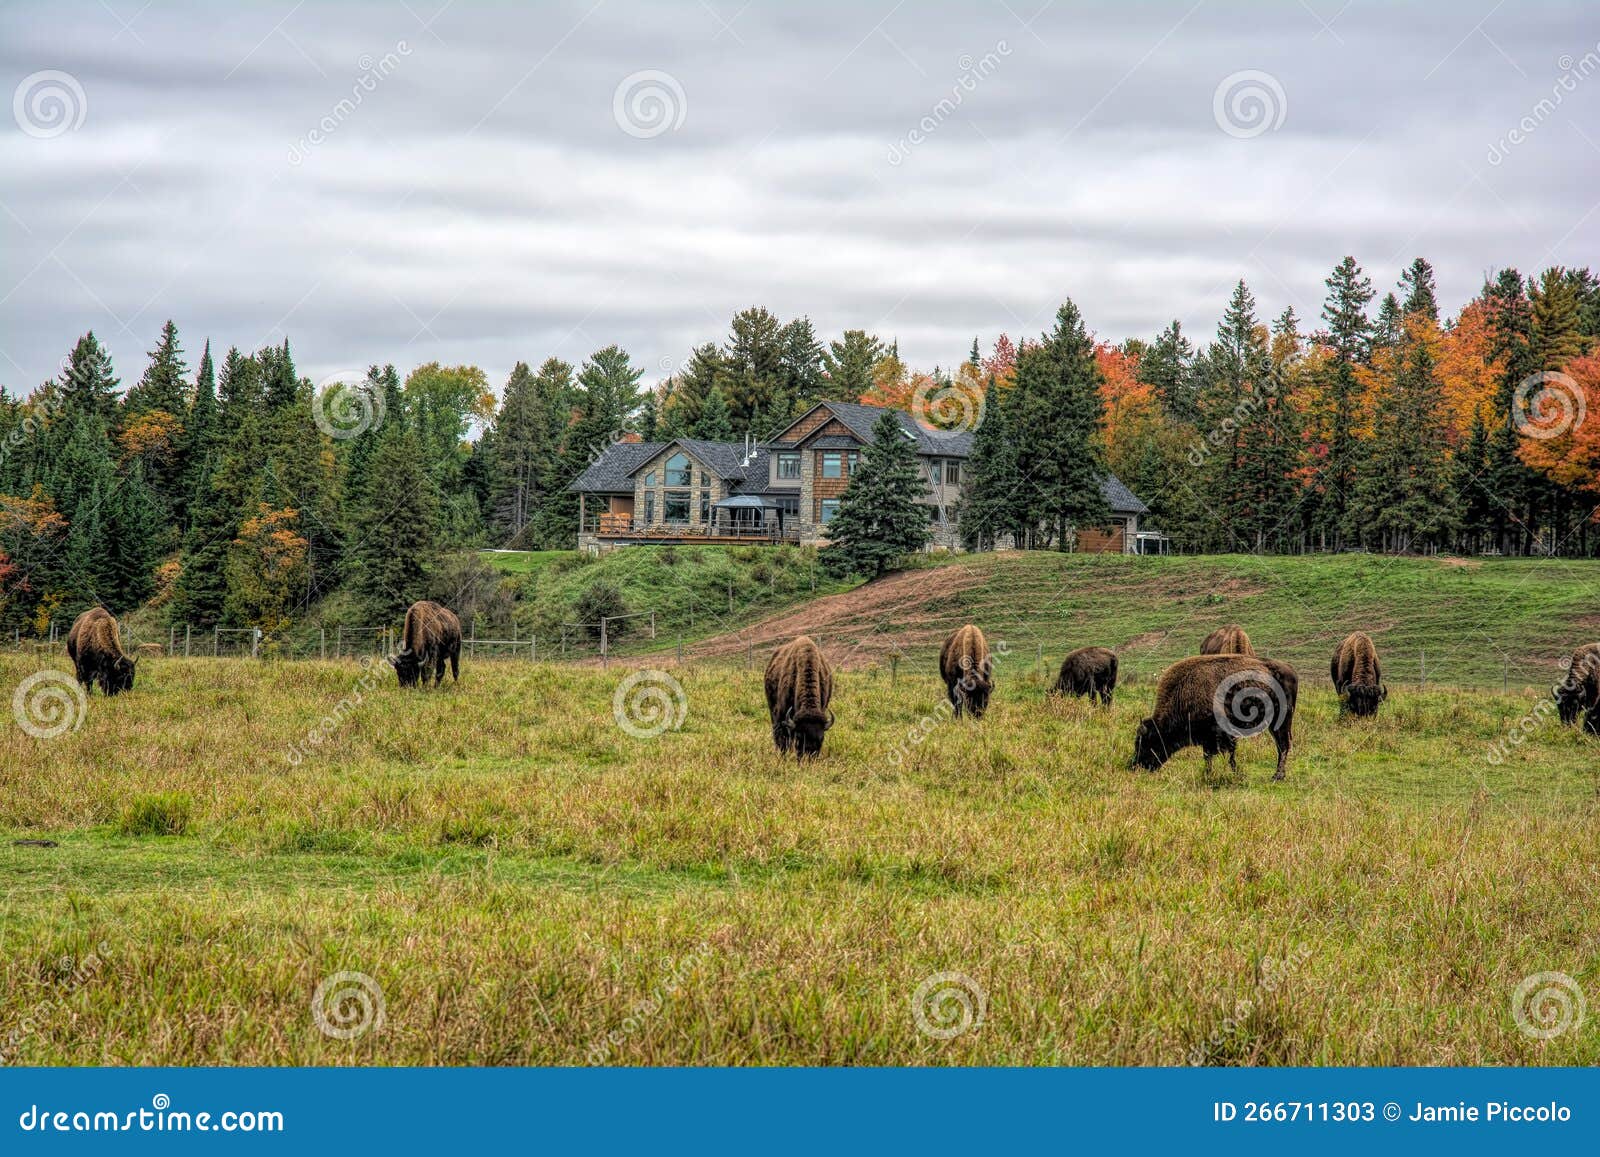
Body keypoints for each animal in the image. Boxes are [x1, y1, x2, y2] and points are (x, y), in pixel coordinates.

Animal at [1132, 653, 1298, 780]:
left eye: (1146, 742)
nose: (1135, 765)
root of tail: (1289, 670)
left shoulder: (1222, 733)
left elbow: (1228, 755)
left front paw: (1234, 774)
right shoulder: (1208, 738)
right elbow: (1209, 756)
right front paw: (1208, 774)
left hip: (1281, 721)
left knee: (1283, 745)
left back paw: (1278, 776)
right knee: (1281, 745)